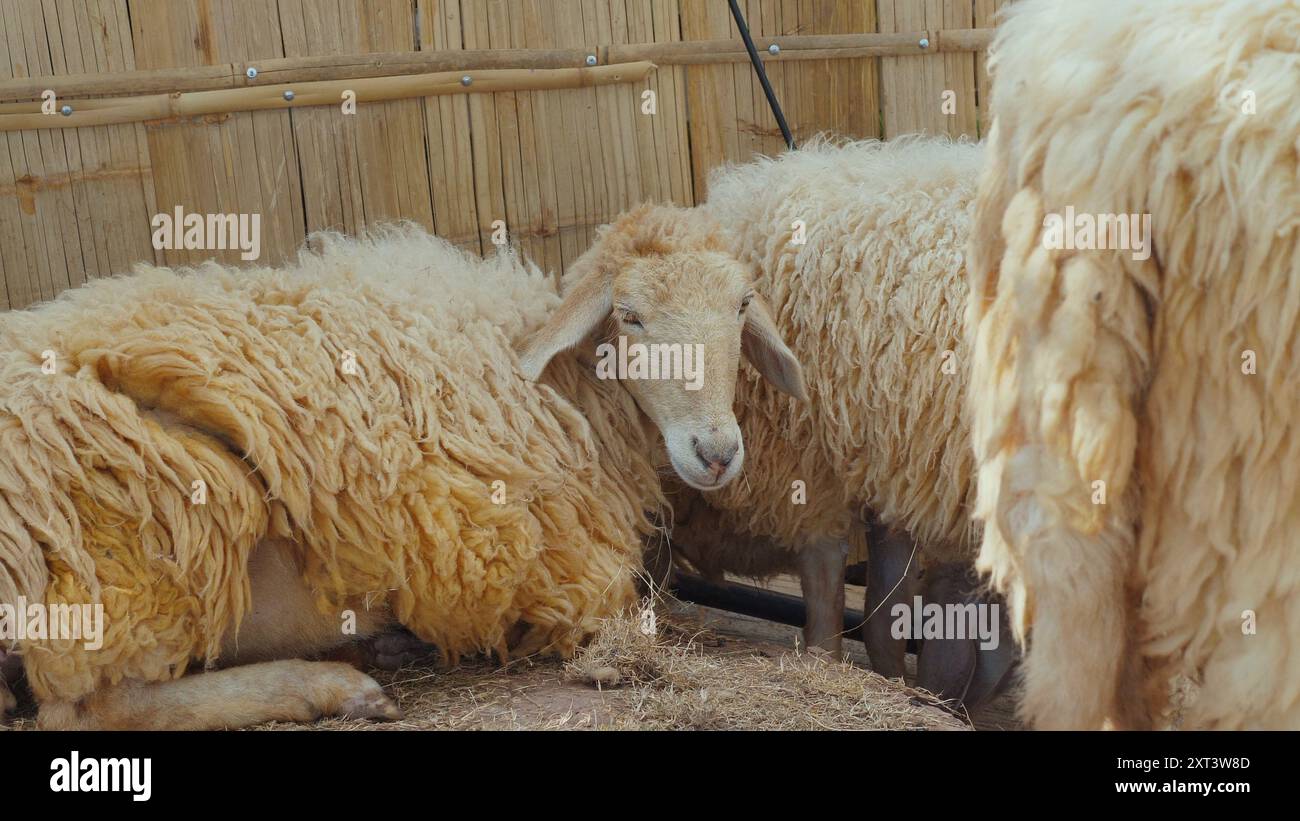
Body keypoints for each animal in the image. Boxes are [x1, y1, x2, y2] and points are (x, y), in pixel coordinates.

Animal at [0, 205, 805, 729]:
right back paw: (332, 687)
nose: (716, 451)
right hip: (158, 523)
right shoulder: (551, 562)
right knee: (90, 707)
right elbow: (622, 619)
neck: (566, 389)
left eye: (742, 306)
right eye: (630, 315)